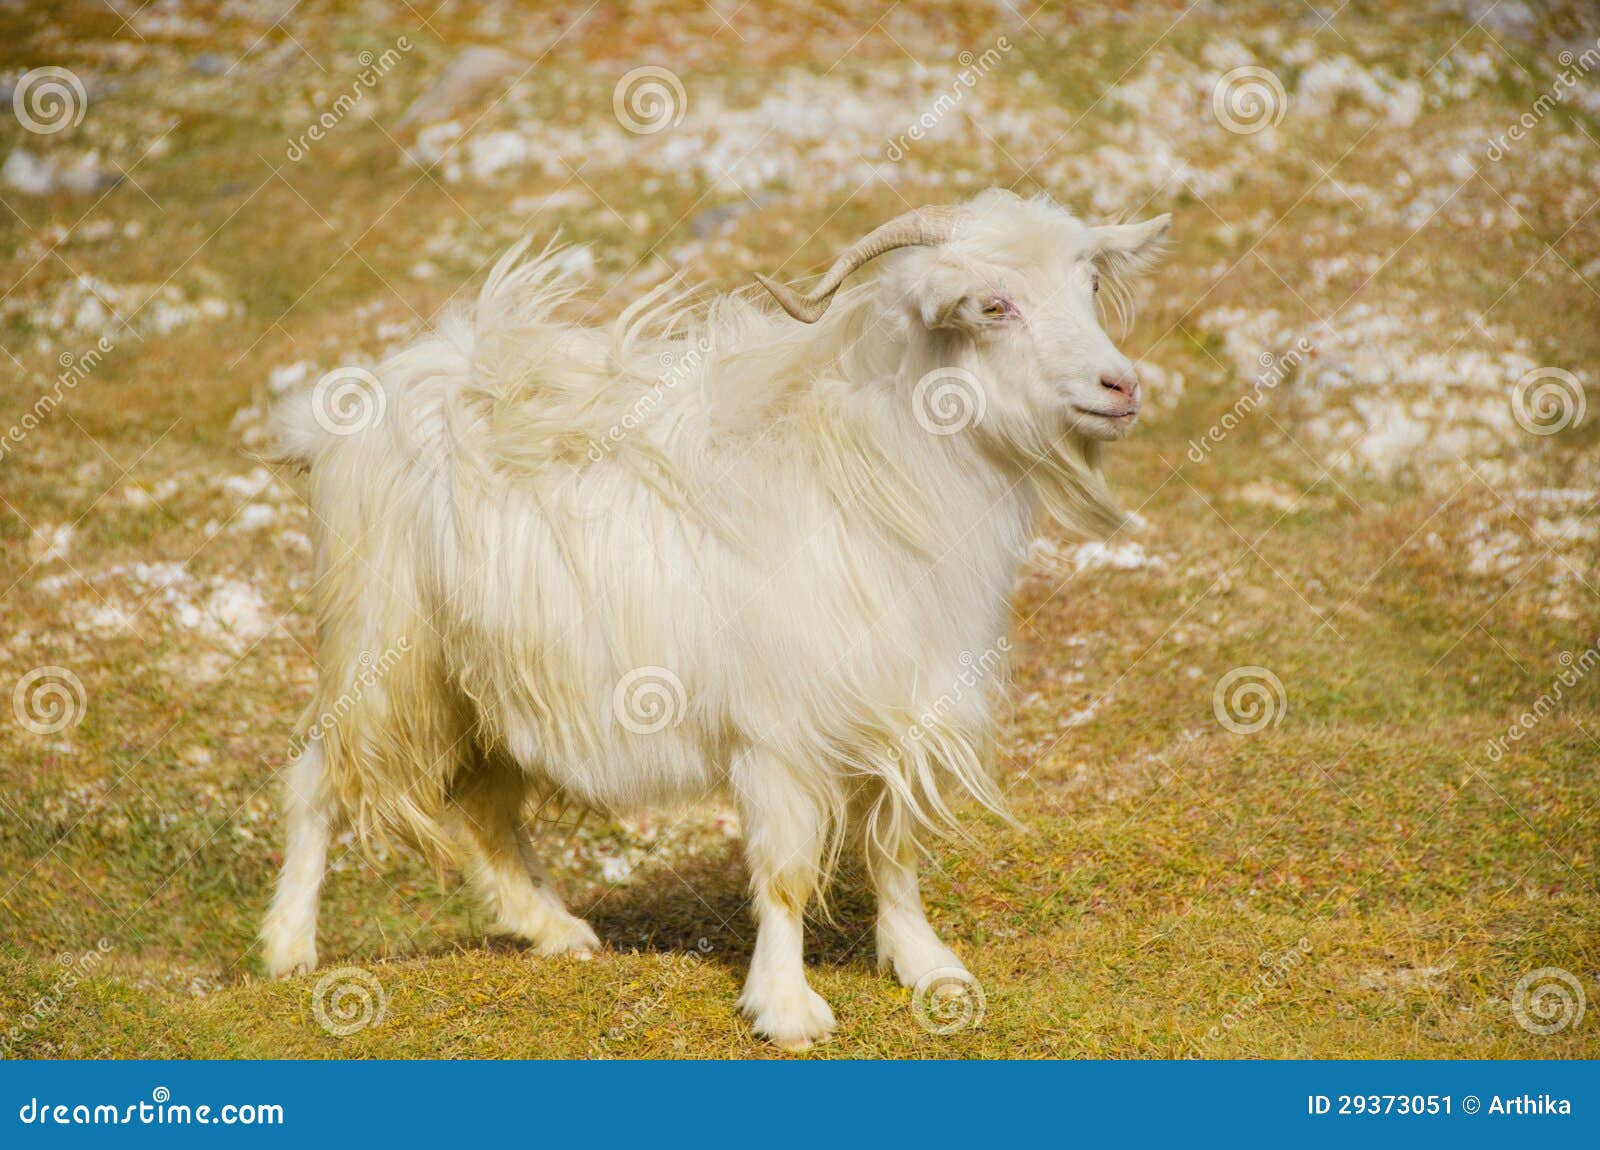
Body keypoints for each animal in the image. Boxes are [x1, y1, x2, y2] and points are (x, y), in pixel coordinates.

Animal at [262, 189, 1169, 1048]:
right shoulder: (776, 733)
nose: (1121, 387)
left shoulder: (901, 701)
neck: (864, 472)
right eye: (992, 304)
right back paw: (288, 951)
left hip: (486, 683)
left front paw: (927, 969)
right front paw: (787, 1008)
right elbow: (786, 872)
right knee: (317, 778)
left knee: (484, 810)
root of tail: (336, 418)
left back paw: (558, 933)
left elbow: (895, 849)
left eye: (1089, 286)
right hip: (382, 648)